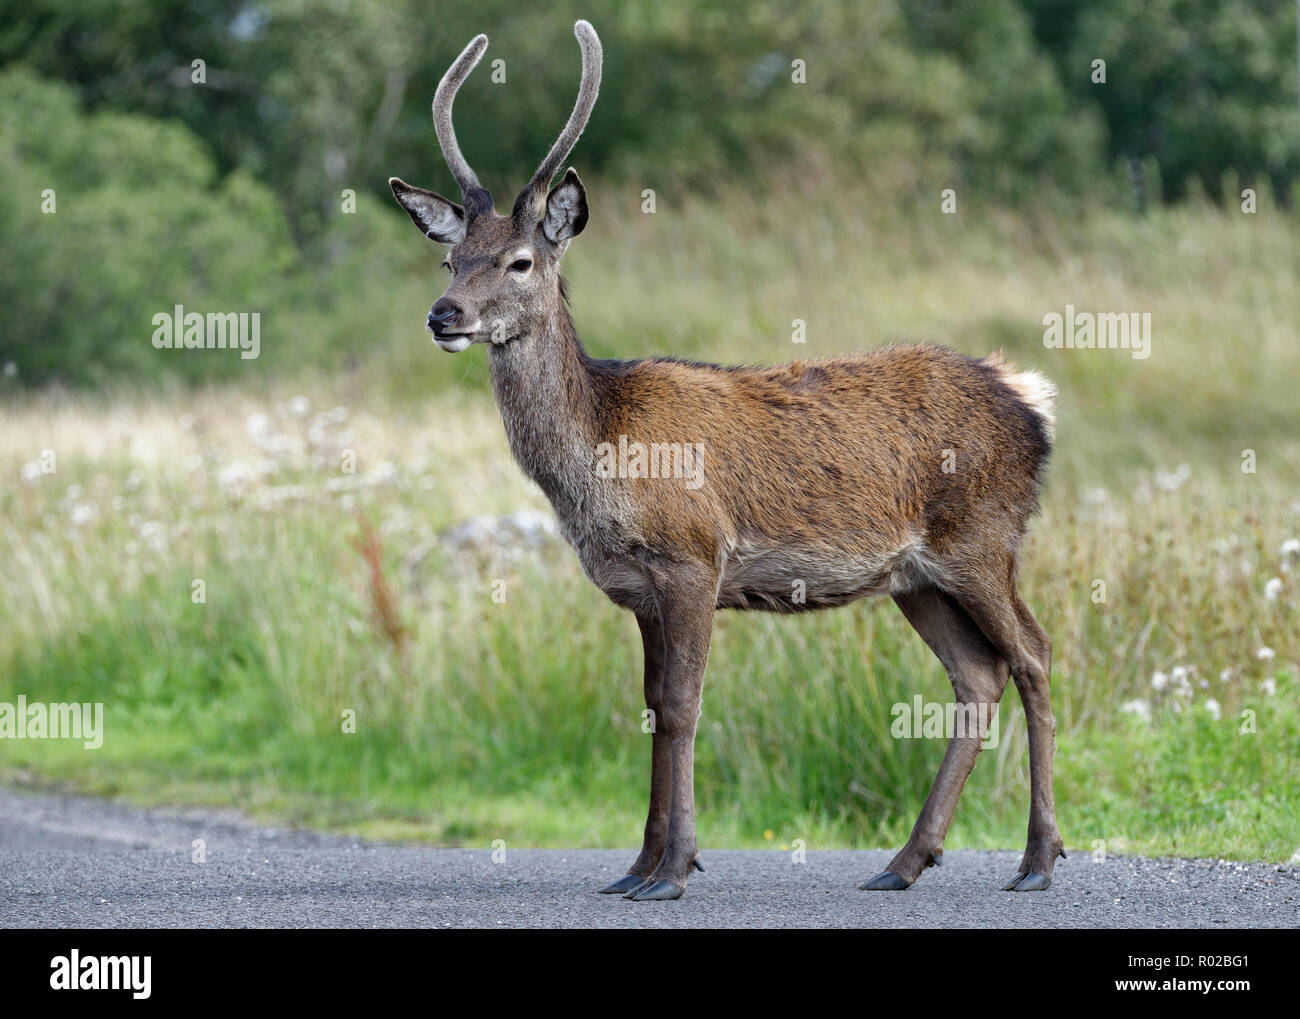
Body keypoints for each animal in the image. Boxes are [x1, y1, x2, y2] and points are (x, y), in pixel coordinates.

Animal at [388, 20, 1065, 901]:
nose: (444, 315)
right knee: (977, 676)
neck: (600, 454)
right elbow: (650, 705)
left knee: (1033, 654)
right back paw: (905, 860)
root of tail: (1030, 400)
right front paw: (635, 866)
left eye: (520, 262)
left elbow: (683, 704)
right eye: (450, 259)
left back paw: (1038, 858)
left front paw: (673, 868)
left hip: (983, 538)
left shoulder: (693, 556)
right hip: (916, 577)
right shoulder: (637, 586)